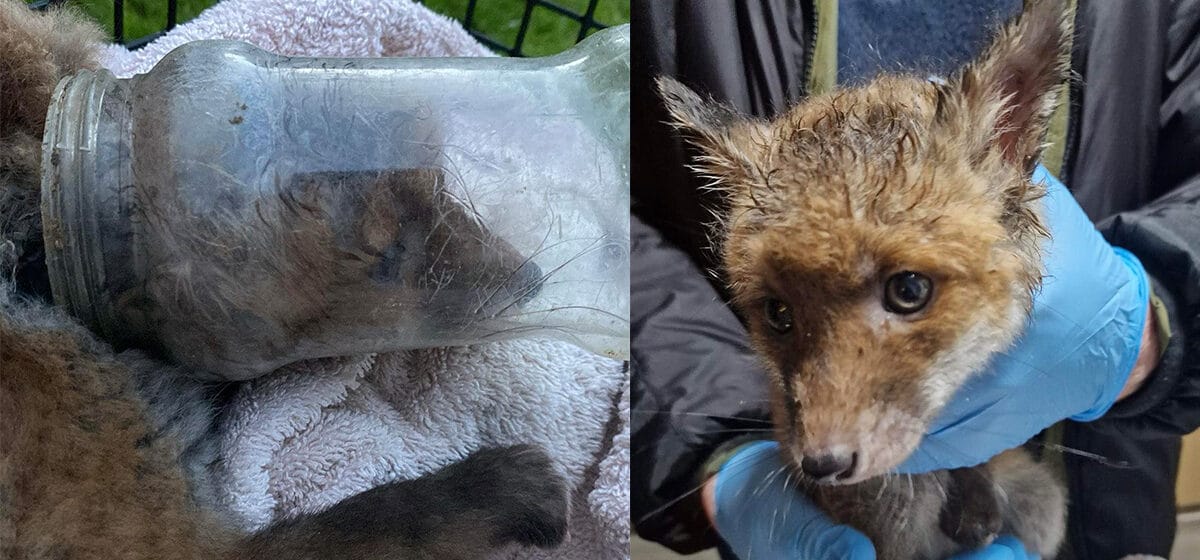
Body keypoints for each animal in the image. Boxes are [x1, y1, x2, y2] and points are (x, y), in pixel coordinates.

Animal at [0, 2, 565, 558]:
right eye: (387, 257)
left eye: (443, 184)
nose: (532, 279)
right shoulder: (154, 534)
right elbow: (390, 516)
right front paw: (506, 484)